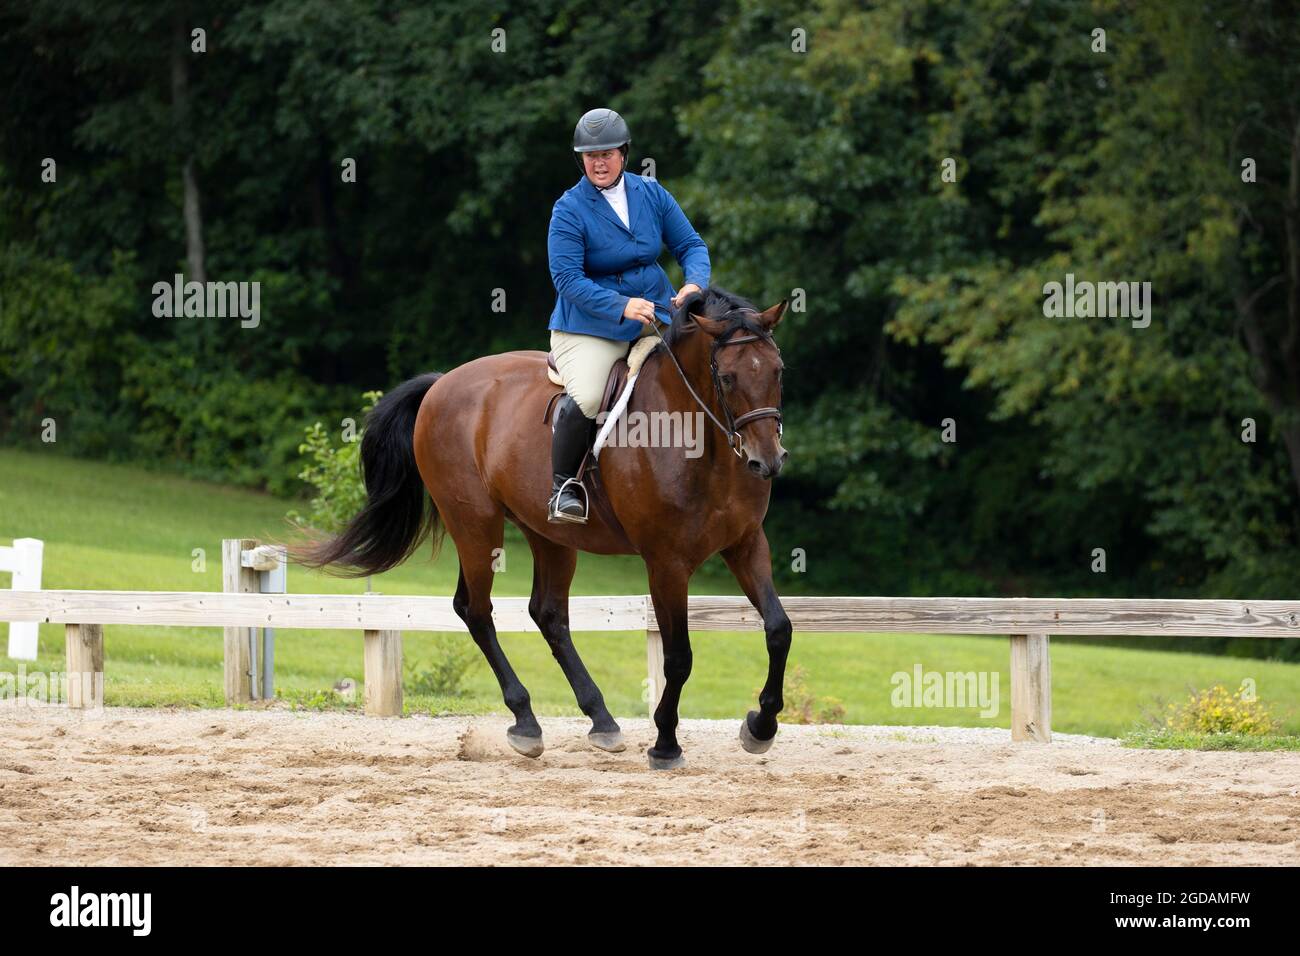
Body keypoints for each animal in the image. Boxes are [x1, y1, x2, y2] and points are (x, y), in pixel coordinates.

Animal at [296, 287, 792, 769]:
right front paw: (666, 744)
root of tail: (441, 382)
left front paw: (760, 727)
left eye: (778, 371)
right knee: (475, 610)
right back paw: (526, 722)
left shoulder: (746, 544)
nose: (767, 462)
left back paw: (601, 720)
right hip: (475, 524)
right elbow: (679, 657)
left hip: (549, 533)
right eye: (726, 378)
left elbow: (778, 628)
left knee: (548, 614)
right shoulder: (666, 562)